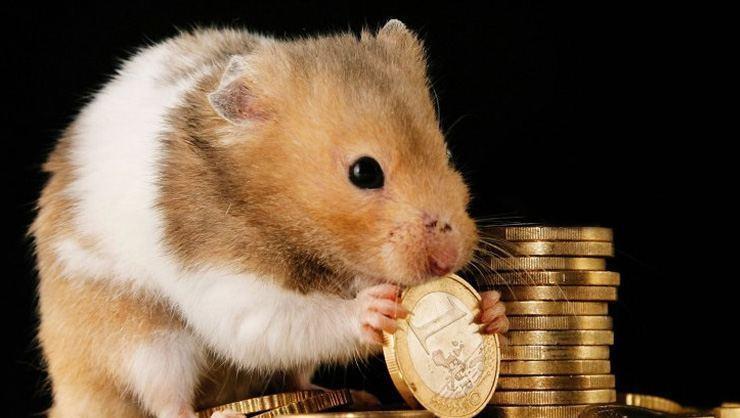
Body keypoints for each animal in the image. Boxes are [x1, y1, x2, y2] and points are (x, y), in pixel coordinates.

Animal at [30, 20, 510, 418]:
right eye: (364, 172)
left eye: (446, 155)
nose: (449, 260)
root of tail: (71, 395)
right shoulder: (224, 280)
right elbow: (277, 320)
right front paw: (375, 309)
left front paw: (491, 311)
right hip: (141, 337)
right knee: (164, 396)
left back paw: (336, 395)